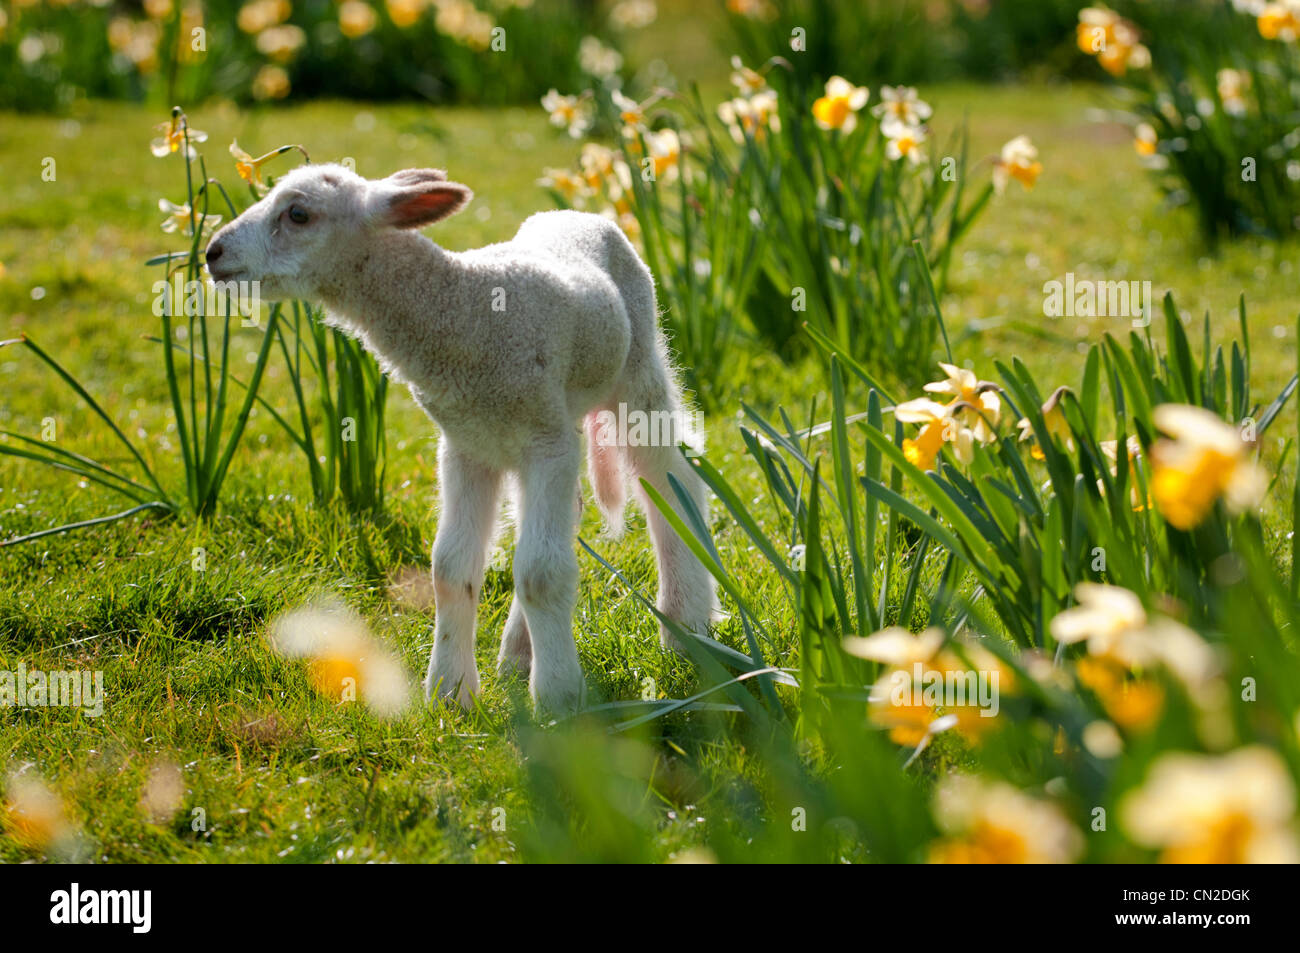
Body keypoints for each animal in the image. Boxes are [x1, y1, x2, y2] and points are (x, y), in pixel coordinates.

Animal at [204, 164, 716, 714]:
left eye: (298, 214)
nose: (213, 252)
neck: (465, 313)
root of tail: (576, 214)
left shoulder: (545, 439)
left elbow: (540, 572)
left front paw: (559, 697)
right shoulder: (467, 444)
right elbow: (450, 569)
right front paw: (449, 692)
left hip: (636, 363)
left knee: (671, 478)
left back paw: (687, 627)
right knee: (571, 508)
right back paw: (518, 653)